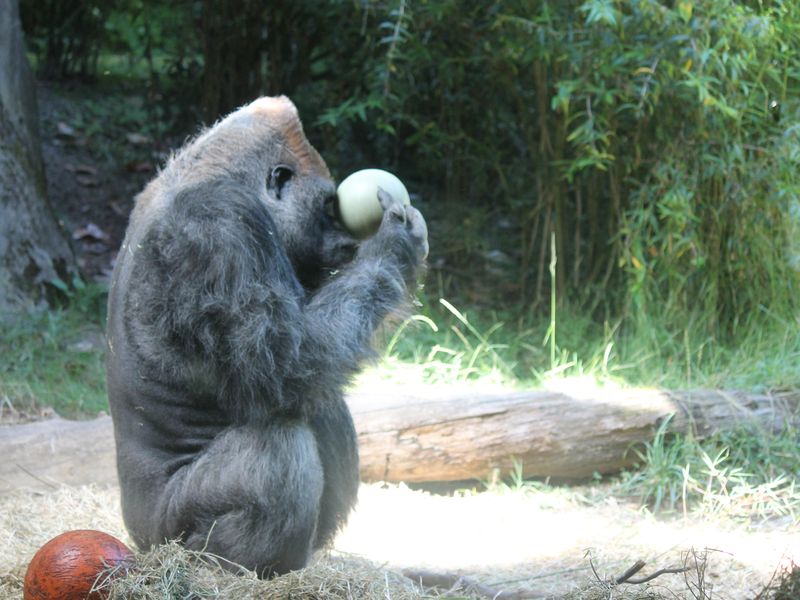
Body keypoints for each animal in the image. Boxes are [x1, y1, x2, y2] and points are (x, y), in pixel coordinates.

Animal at [105, 96, 428, 576]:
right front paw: (395, 246)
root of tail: (141, 544)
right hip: (166, 535)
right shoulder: (220, 224)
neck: (202, 173)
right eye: (329, 207)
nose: (345, 241)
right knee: (276, 450)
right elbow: (288, 362)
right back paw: (230, 569)